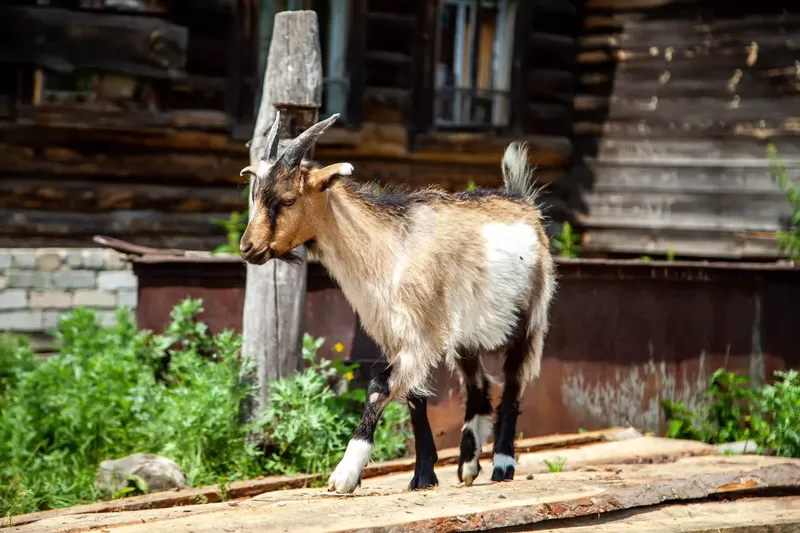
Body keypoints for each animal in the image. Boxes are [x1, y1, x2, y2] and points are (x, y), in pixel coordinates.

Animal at [240, 112, 556, 494]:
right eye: (255, 196)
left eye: (288, 200)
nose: (248, 248)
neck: (388, 249)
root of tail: (522, 201)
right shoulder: (397, 335)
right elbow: (414, 398)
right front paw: (422, 477)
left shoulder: (422, 335)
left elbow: (378, 388)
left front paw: (345, 474)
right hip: (466, 334)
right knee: (478, 383)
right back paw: (467, 464)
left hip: (530, 316)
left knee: (513, 384)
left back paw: (502, 465)